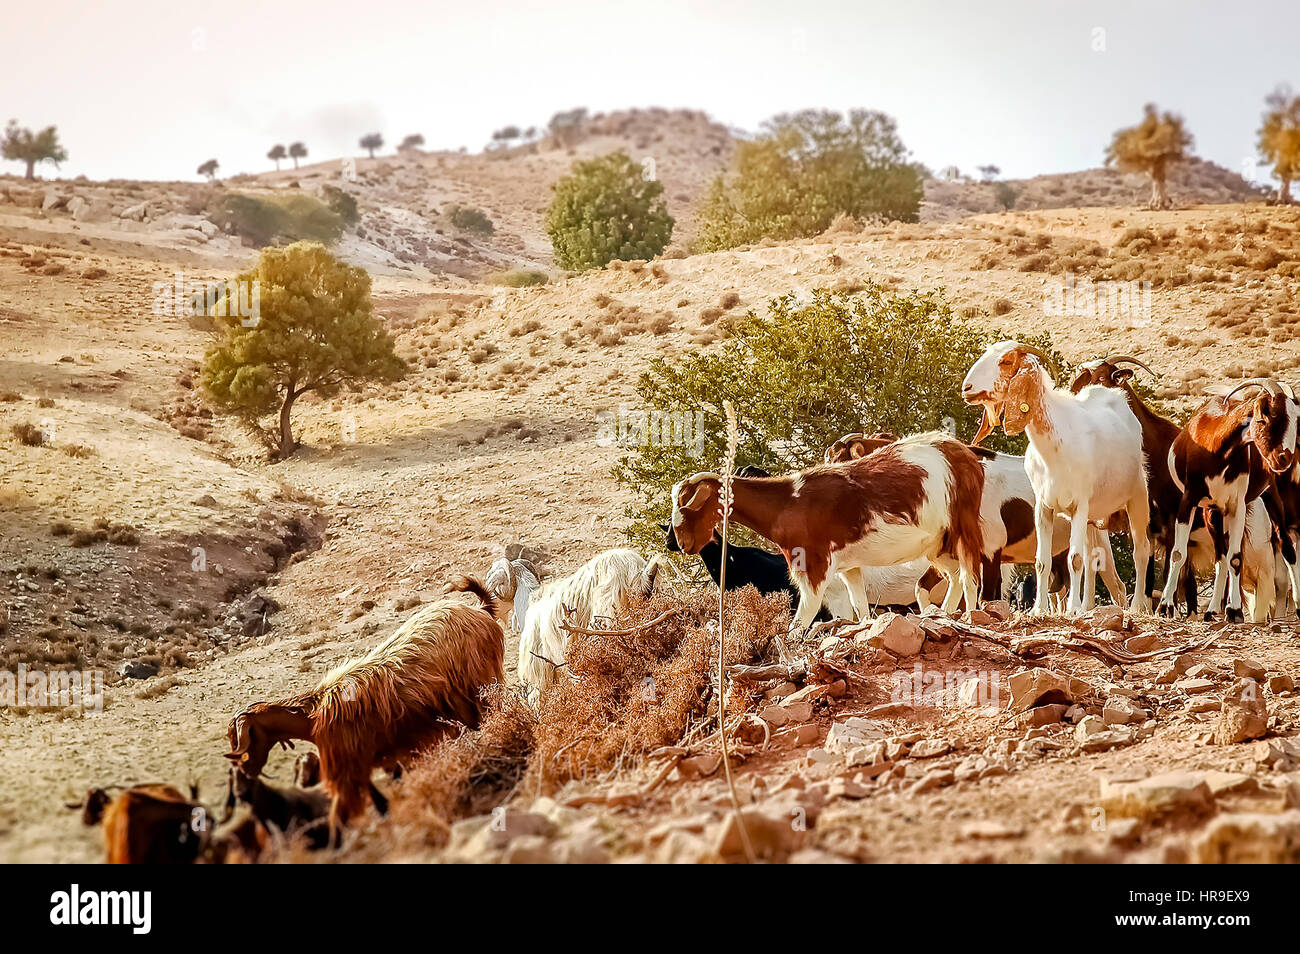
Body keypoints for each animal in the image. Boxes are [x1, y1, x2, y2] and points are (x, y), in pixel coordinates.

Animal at [226, 576, 505, 840]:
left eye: (243, 738)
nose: (245, 769)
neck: (312, 717)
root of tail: (479, 611)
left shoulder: (348, 768)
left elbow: (340, 815)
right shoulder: (370, 759)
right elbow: (379, 802)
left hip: (477, 689)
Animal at [672, 431, 984, 631]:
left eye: (689, 504)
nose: (682, 542)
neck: (787, 503)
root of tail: (961, 452)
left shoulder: (813, 569)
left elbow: (800, 623)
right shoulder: (849, 567)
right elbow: (860, 609)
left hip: (963, 528)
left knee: (970, 576)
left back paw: (970, 616)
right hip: (936, 545)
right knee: (954, 576)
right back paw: (945, 613)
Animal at [963, 340, 1152, 616]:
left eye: (1006, 361)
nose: (967, 388)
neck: (1055, 446)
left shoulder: (1080, 505)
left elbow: (1075, 559)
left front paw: (1072, 610)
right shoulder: (1044, 506)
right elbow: (1042, 561)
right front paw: (1039, 609)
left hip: (1137, 496)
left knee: (1140, 550)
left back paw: (1136, 607)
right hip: (1093, 520)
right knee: (1093, 559)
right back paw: (1088, 606)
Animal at [1159, 380, 1298, 621]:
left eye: (1294, 418)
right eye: (1267, 416)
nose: (1284, 458)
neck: (1217, 449)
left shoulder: (1237, 506)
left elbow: (1235, 558)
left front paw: (1234, 611)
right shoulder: (1189, 500)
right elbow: (1178, 553)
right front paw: (1165, 606)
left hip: (1270, 495)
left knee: (1287, 547)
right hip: (1212, 512)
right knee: (1219, 557)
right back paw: (1213, 609)